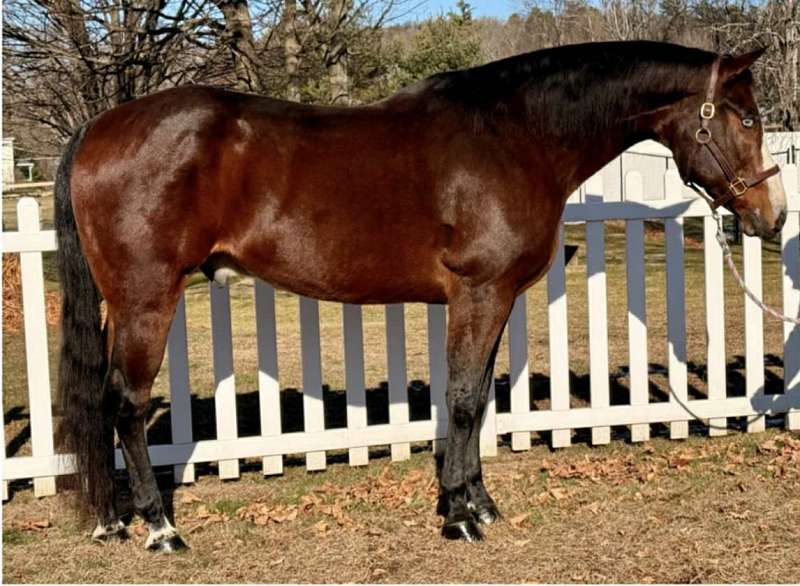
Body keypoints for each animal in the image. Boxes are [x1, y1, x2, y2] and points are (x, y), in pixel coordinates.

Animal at [54, 40, 786, 550]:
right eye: (748, 118)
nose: (772, 217)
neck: (517, 136)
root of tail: (98, 129)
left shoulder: (494, 299)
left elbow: (477, 398)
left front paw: (477, 503)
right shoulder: (479, 293)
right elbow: (461, 401)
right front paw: (460, 518)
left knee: (103, 403)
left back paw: (114, 522)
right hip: (146, 300)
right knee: (125, 405)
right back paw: (159, 528)